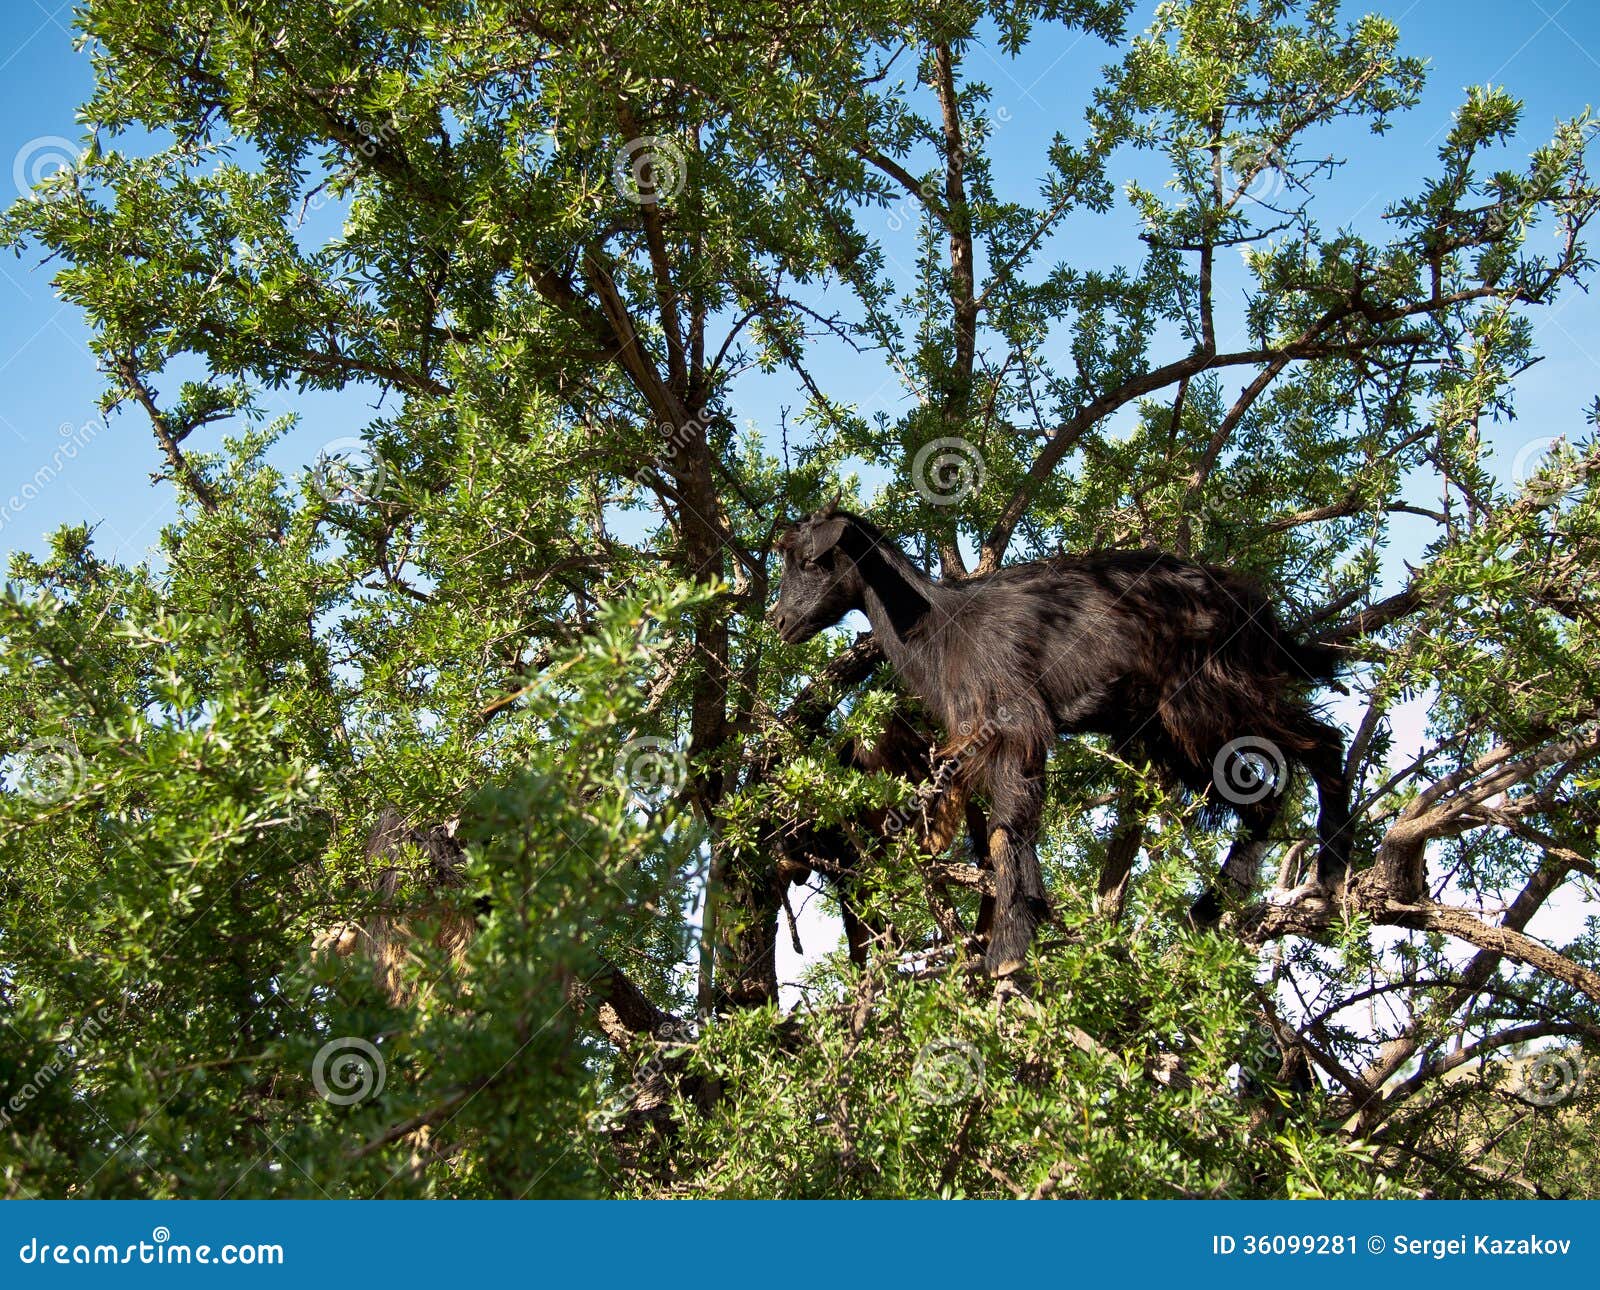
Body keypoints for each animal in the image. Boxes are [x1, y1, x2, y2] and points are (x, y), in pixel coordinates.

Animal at [769, 505, 1352, 977]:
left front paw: (1006, 951)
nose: (779, 622)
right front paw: (1024, 926)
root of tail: (1252, 604)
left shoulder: (1013, 722)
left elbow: (1006, 829)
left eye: (810, 561)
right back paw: (1212, 906)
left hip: (1209, 696)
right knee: (1265, 792)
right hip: (1173, 725)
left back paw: (1328, 874)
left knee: (1321, 746)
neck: (940, 627)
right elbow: (1007, 829)